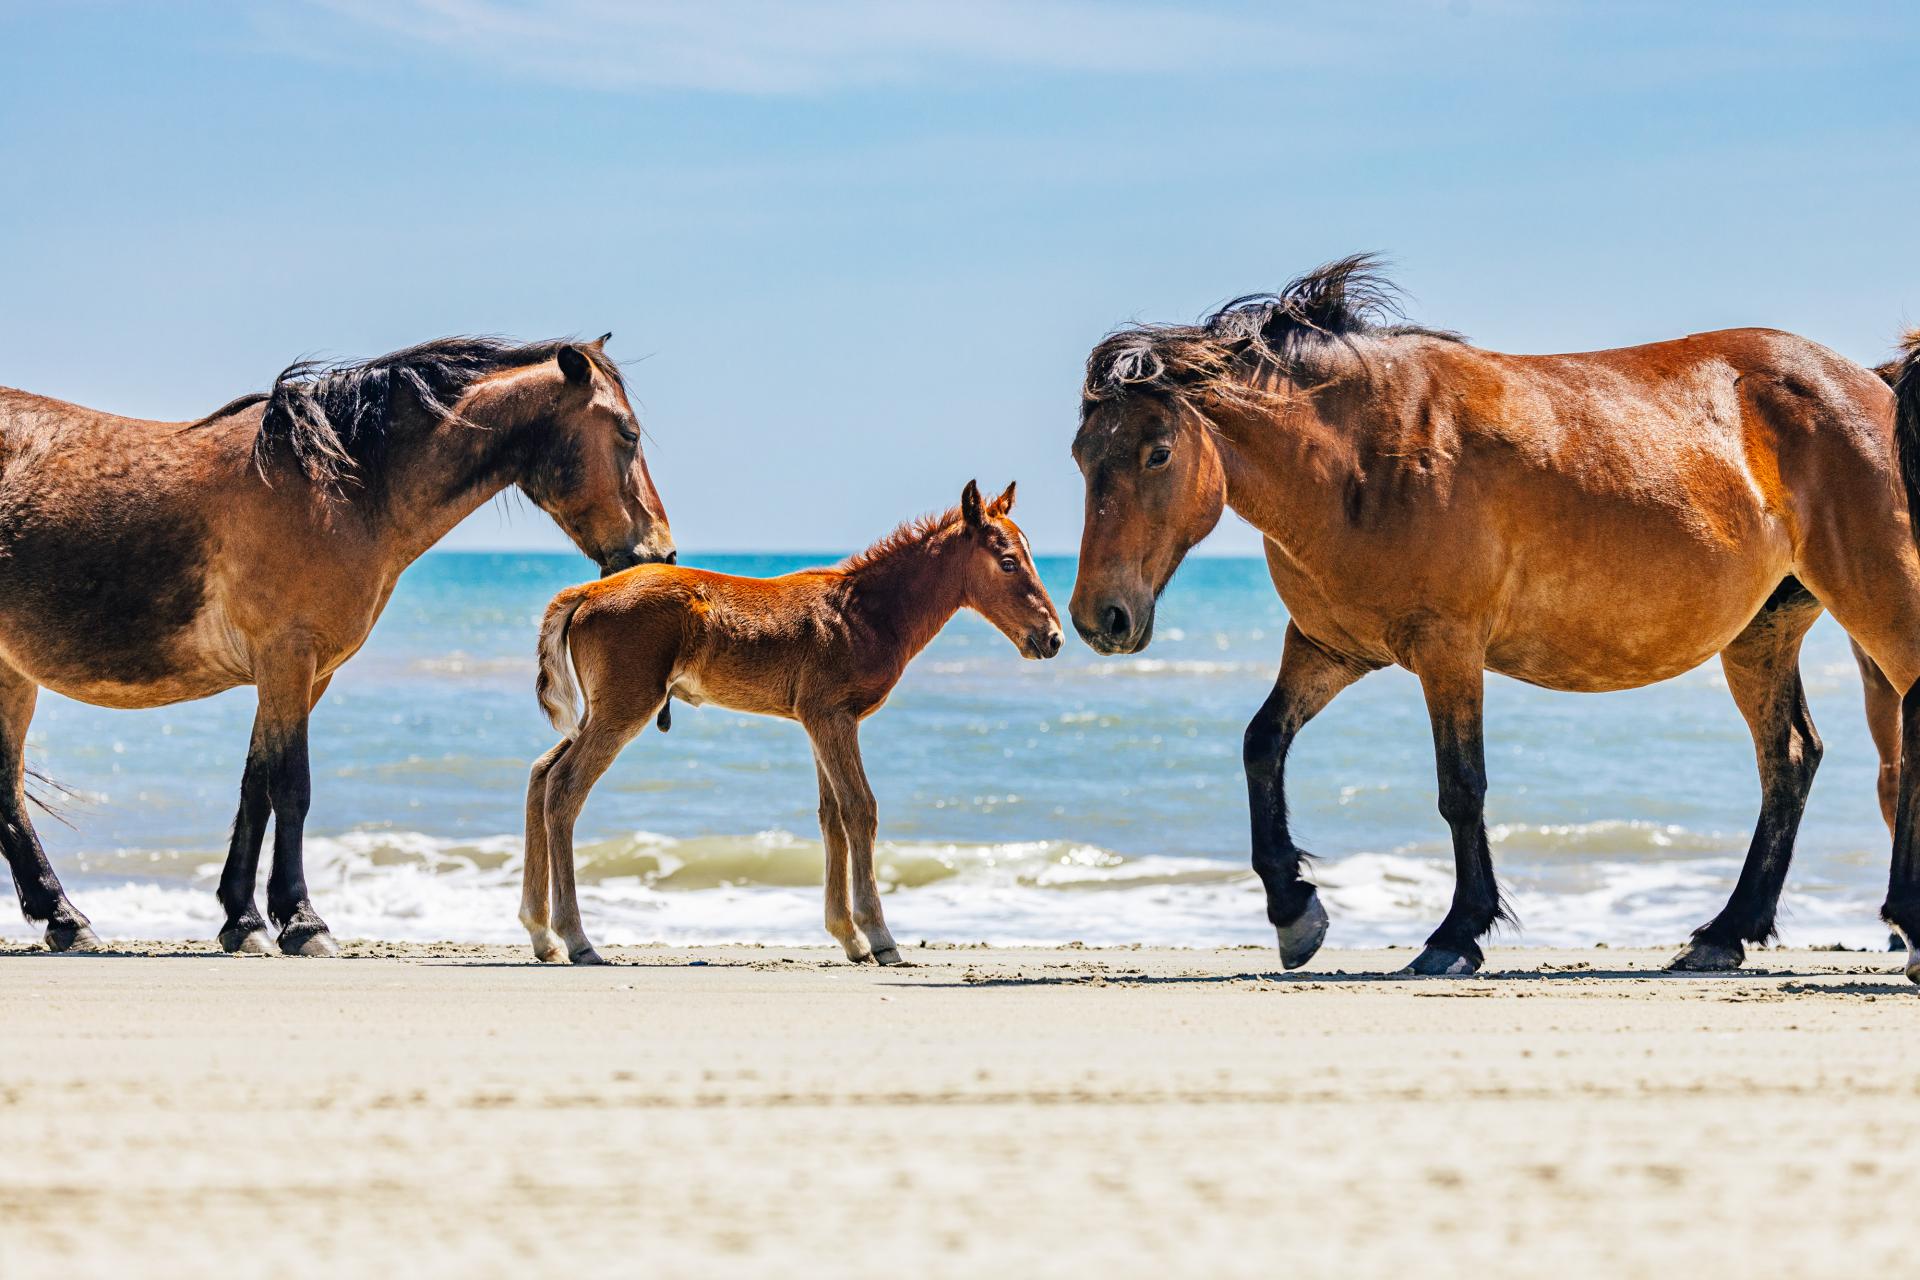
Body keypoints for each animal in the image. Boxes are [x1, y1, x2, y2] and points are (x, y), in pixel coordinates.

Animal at [0, 335, 674, 956]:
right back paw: (66, 918)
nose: (660, 553)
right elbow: (291, 787)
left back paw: (65, 919)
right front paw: (302, 922)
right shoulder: (288, 659)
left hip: (13, 675)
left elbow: (256, 786)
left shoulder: (304, 674)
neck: (340, 489)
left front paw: (244, 920)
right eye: (628, 433)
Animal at [521, 480, 1061, 966]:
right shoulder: (831, 716)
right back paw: (577, 939)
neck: (864, 613)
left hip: (599, 709)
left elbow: (831, 816)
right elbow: (860, 809)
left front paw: (848, 938)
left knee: (541, 774)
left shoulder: (822, 721)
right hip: (625, 706)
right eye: (1008, 562)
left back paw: (541, 935)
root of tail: (587, 590)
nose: (1052, 637)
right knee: (565, 787)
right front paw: (880, 938)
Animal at [1068, 255, 1920, 977]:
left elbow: (1461, 788)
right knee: (1790, 759)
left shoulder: (1448, 649)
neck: (1363, 459)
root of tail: (1877, 387)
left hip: (1880, 599)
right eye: (1083, 456)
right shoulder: (1327, 648)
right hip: (1761, 635)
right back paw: (1726, 933)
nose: (1099, 617)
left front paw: (1455, 934)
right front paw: (1294, 911)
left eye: (1157, 453)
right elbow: (1261, 745)